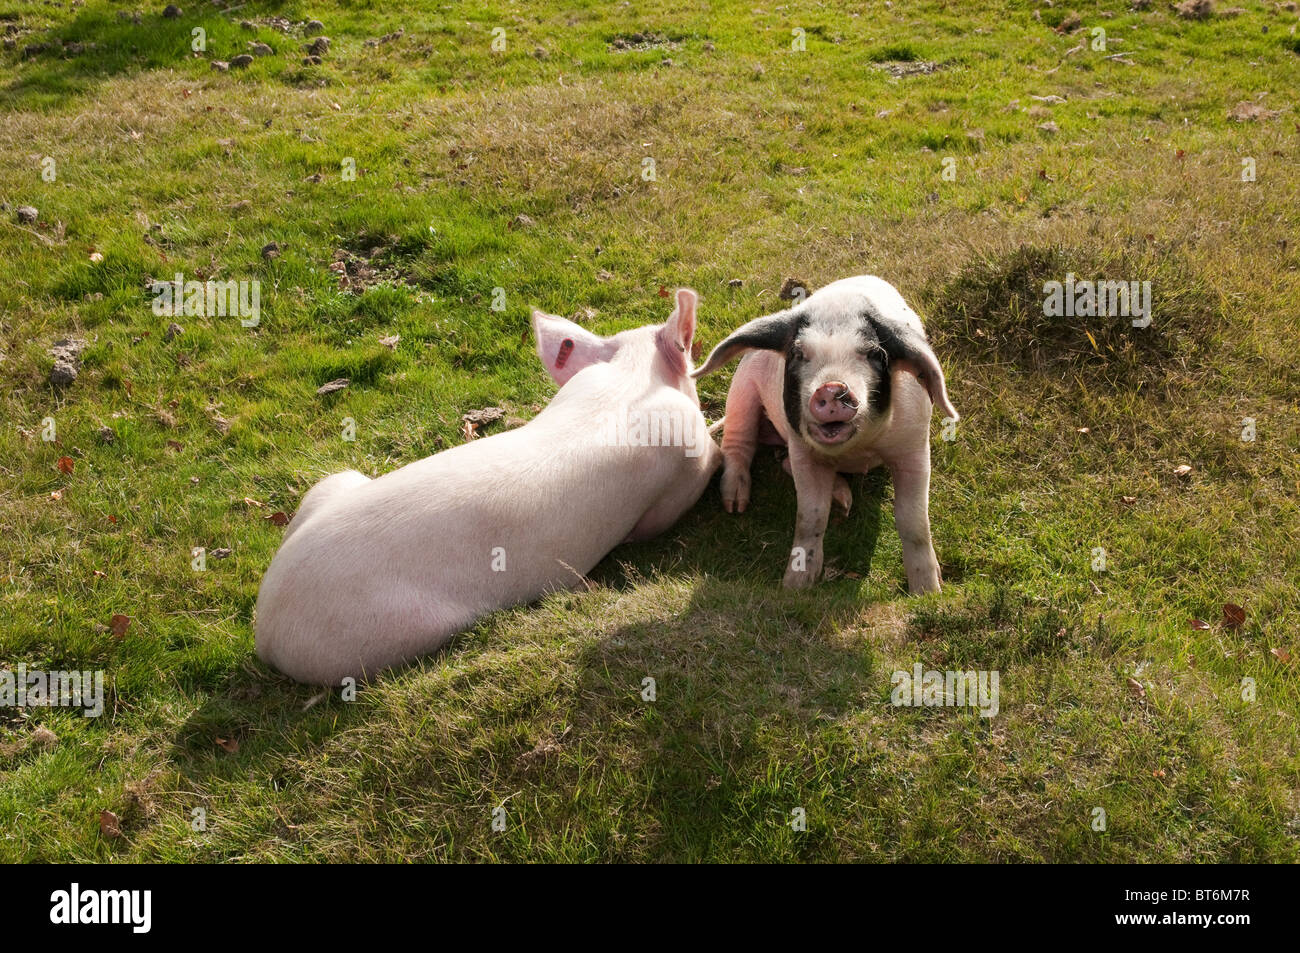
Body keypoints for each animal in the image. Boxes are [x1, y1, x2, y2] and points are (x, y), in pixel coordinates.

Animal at [691, 276, 958, 593]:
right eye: (798, 354)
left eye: (874, 354)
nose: (831, 387)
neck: (857, 450)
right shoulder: (804, 453)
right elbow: (810, 518)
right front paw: (795, 587)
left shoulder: (914, 446)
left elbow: (913, 521)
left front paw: (929, 591)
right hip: (742, 389)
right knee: (737, 444)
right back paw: (736, 504)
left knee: (780, 458)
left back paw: (843, 501)